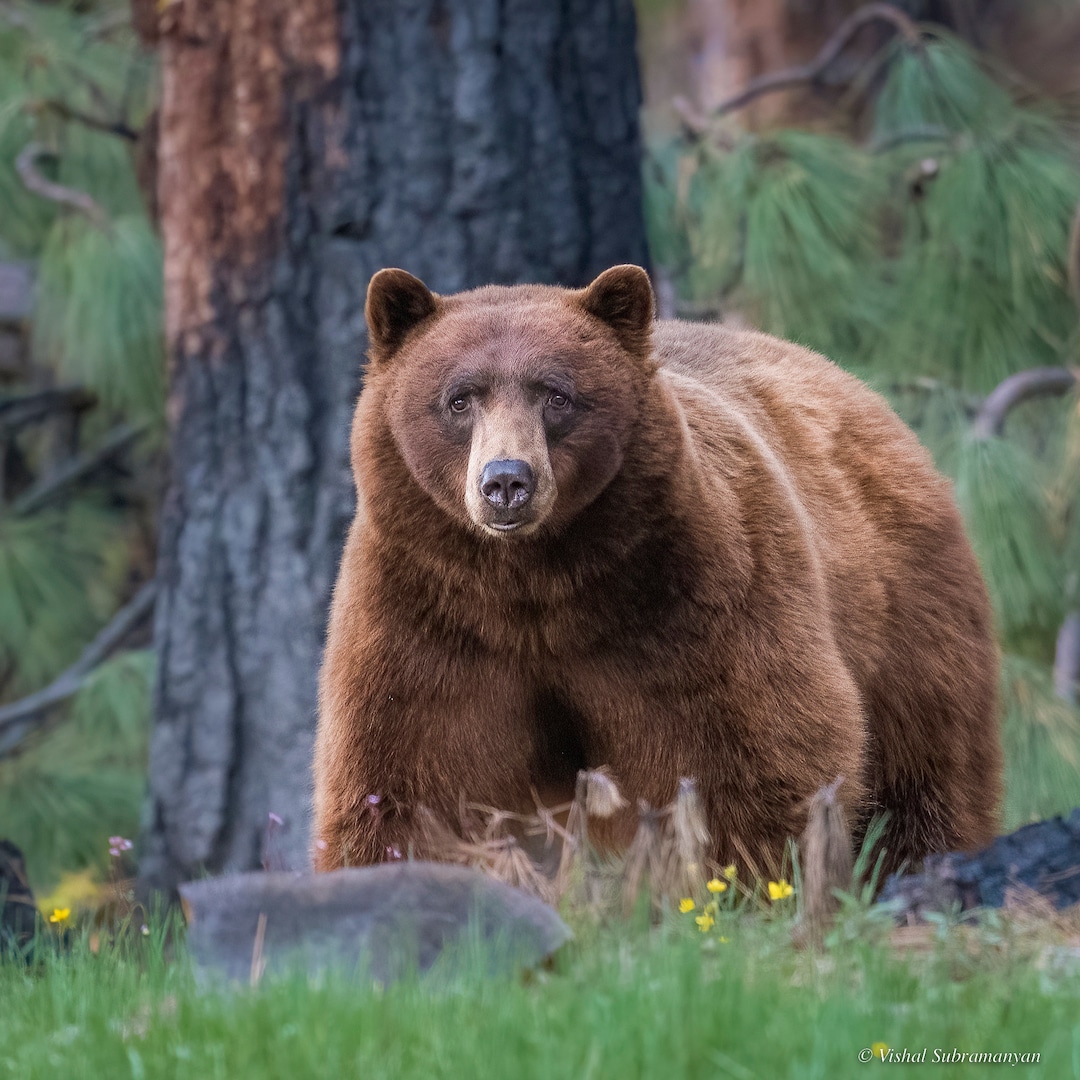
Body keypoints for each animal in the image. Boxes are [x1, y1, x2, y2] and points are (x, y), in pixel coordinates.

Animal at [313, 264, 1002, 879]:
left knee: (927, 771)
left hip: (908, 612)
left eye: (556, 395)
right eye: (459, 399)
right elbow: (411, 775)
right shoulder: (430, 615)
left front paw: (748, 884)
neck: (535, 590)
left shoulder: (687, 595)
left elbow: (750, 754)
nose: (506, 481)